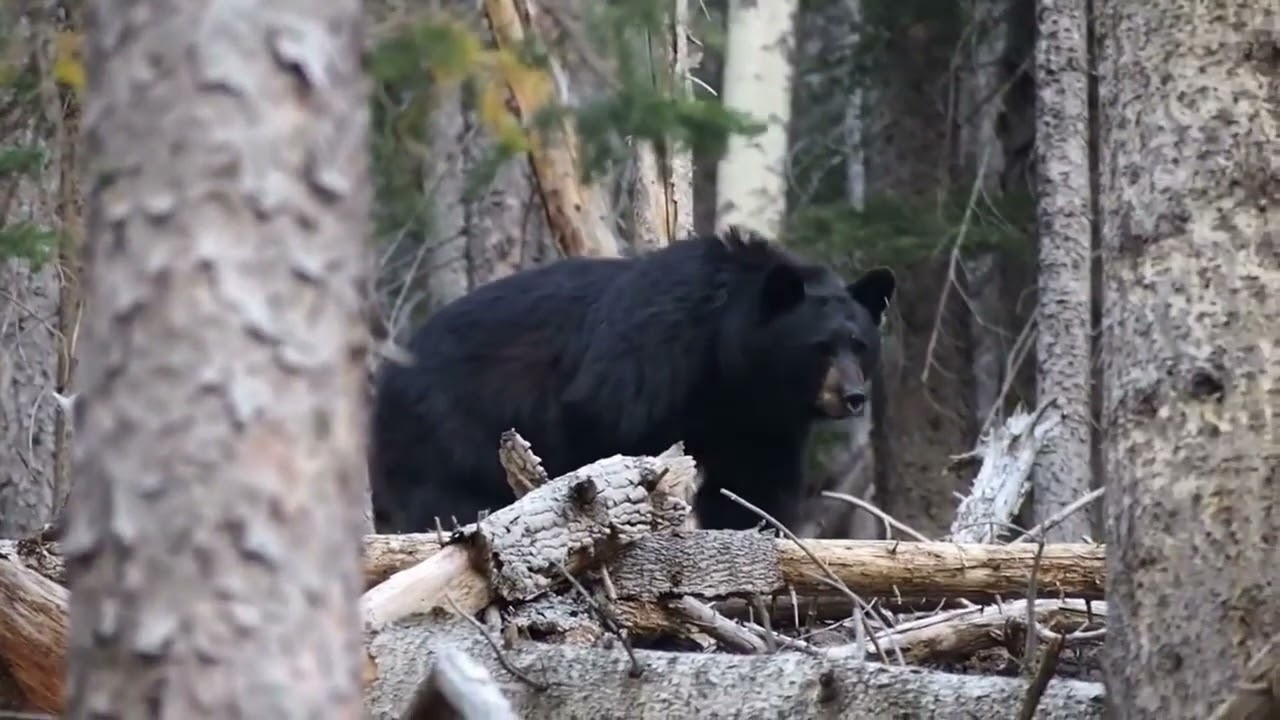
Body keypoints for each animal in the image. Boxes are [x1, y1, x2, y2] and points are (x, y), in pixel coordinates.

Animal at [368, 227, 895, 533]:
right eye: (820, 346)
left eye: (860, 344)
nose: (852, 397)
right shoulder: (654, 352)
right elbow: (608, 427)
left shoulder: (760, 421)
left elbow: (753, 483)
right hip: (447, 426)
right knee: (444, 497)